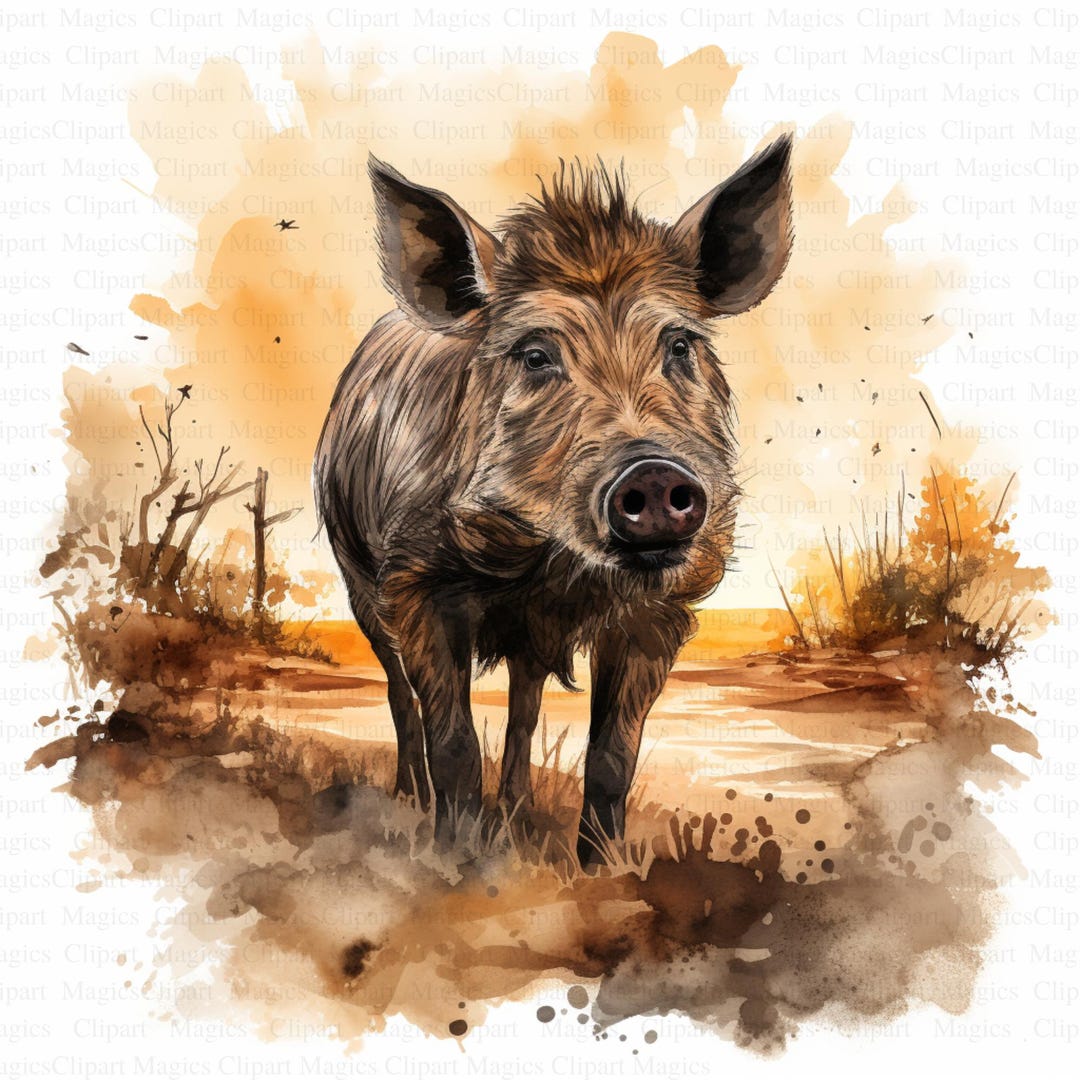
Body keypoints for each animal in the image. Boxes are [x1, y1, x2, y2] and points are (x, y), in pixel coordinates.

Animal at [314, 135, 794, 868]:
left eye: (679, 344)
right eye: (536, 355)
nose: (653, 474)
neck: (551, 569)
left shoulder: (659, 611)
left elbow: (613, 756)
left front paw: (601, 870)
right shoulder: (414, 579)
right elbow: (453, 742)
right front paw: (459, 861)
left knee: (525, 701)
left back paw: (517, 808)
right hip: (353, 572)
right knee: (401, 694)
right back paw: (410, 800)